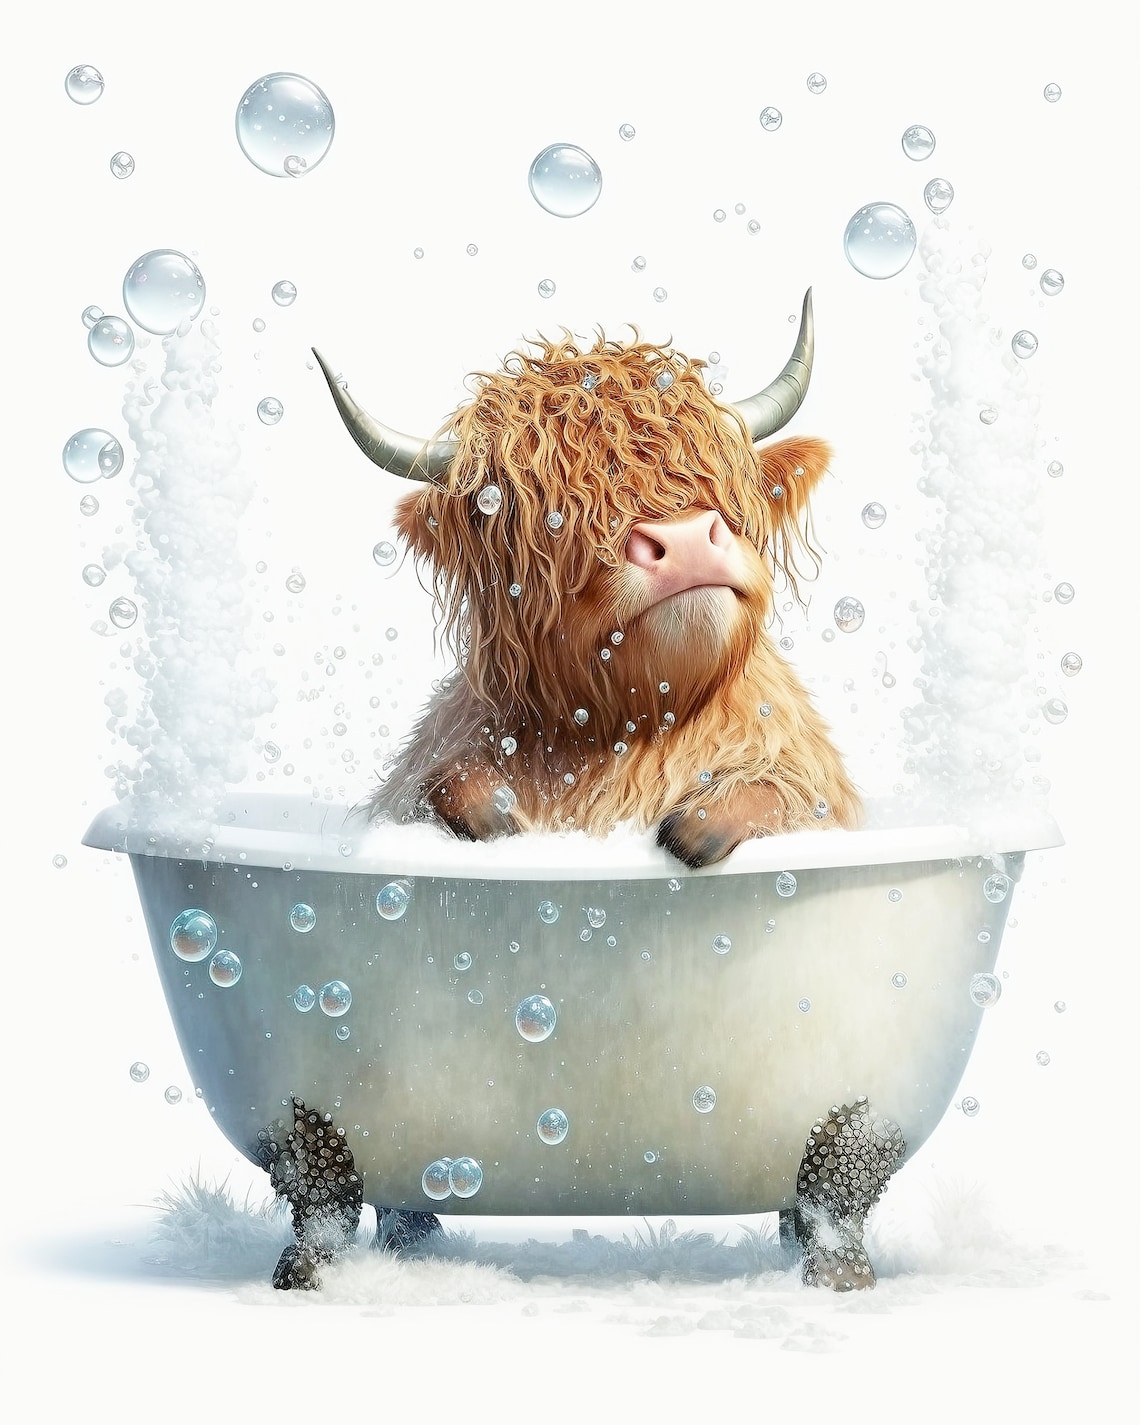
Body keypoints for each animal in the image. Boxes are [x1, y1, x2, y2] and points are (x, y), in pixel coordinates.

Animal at [313, 290, 860, 870]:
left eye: (716, 470)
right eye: (554, 511)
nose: (686, 539)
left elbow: (782, 794)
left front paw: (695, 823)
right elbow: (443, 782)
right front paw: (501, 817)